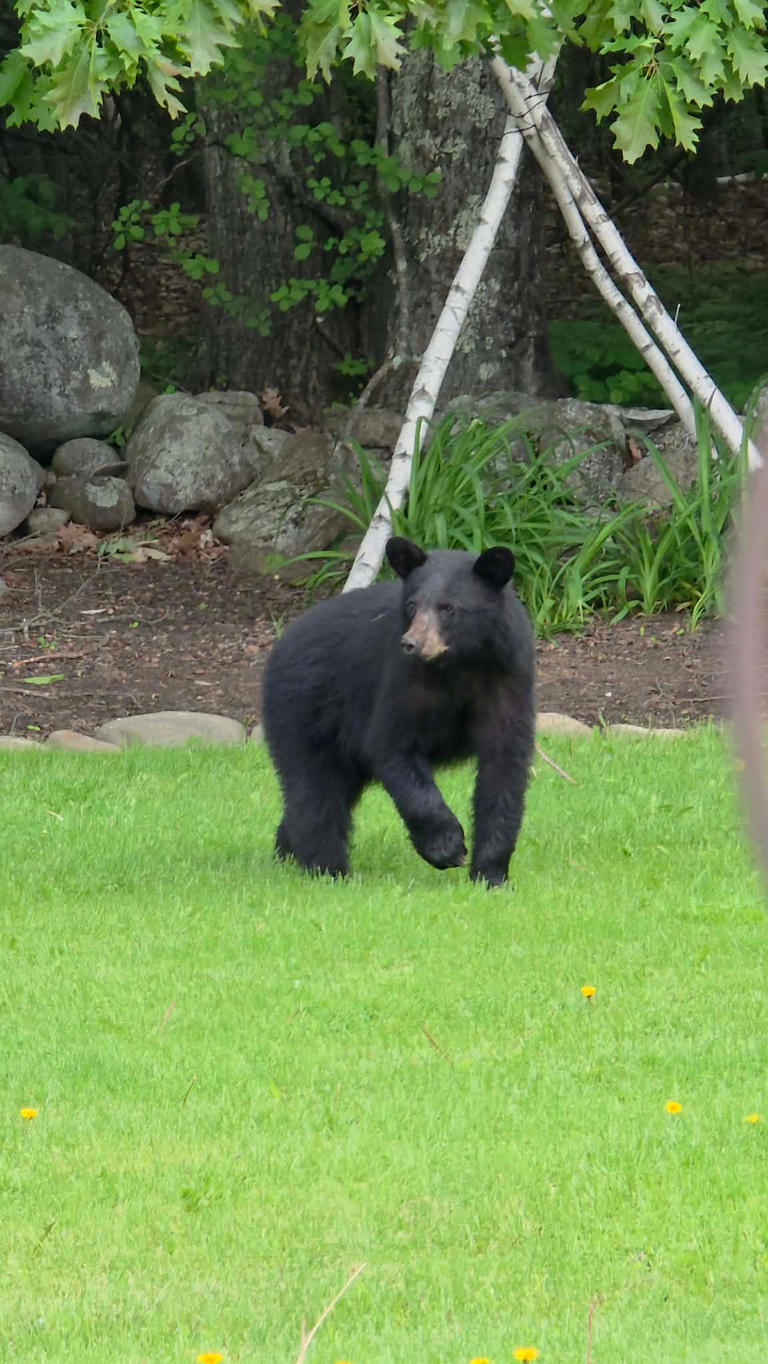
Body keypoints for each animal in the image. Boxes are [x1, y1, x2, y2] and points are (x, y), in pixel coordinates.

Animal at [262, 536, 535, 886]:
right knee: (314, 790)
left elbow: (504, 769)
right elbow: (394, 747)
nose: (412, 643)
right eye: (412, 606)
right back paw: (328, 868)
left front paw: (491, 874)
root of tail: (280, 643)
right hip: (304, 710)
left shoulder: (508, 679)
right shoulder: (403, 680)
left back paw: (287, 853)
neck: (459, 665)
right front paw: (446, 846)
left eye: (449, 608)